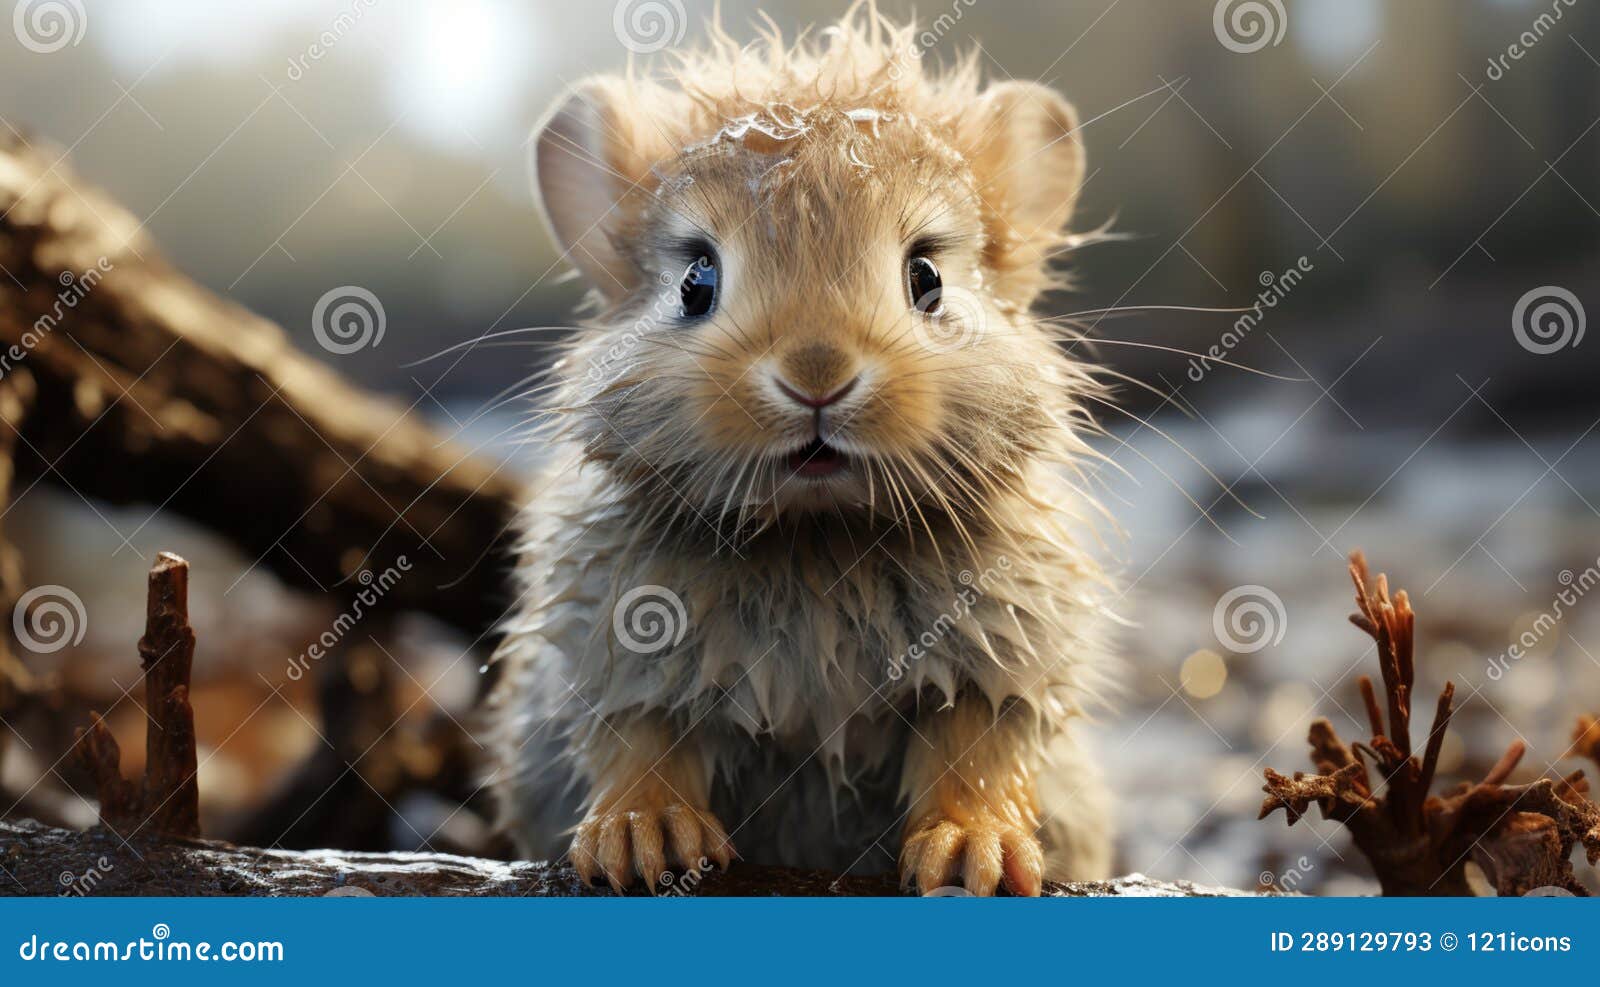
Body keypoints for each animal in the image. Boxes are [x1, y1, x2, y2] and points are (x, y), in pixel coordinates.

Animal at [485, 6, 1120, 896]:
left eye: (926, 278)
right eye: (696, 283)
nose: (817, 375)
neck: (817, 533)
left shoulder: (999, 661)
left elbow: (976, 750)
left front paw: (975, 851)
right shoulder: (619, 656)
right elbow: (641, 743)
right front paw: (643, 837)